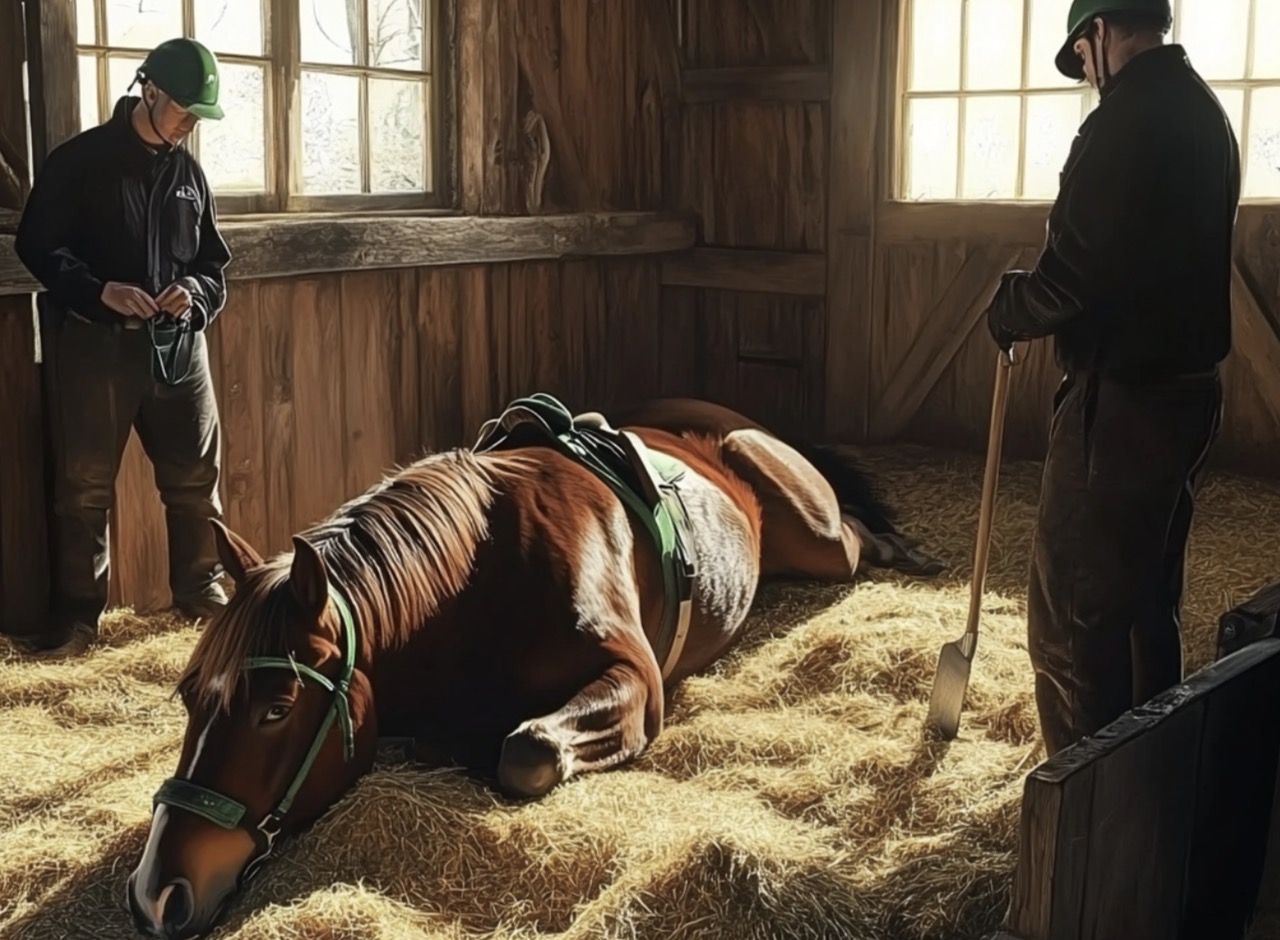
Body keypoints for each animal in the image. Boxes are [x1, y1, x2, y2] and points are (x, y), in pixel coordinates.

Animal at [126, 395, 944, 939]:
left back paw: (901, 549)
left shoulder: (635, 688)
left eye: (276, 707)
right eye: (188, 697)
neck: (484, 578)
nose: (156, 893)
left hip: (818, 542)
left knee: (853, 535)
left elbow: (527, 750)